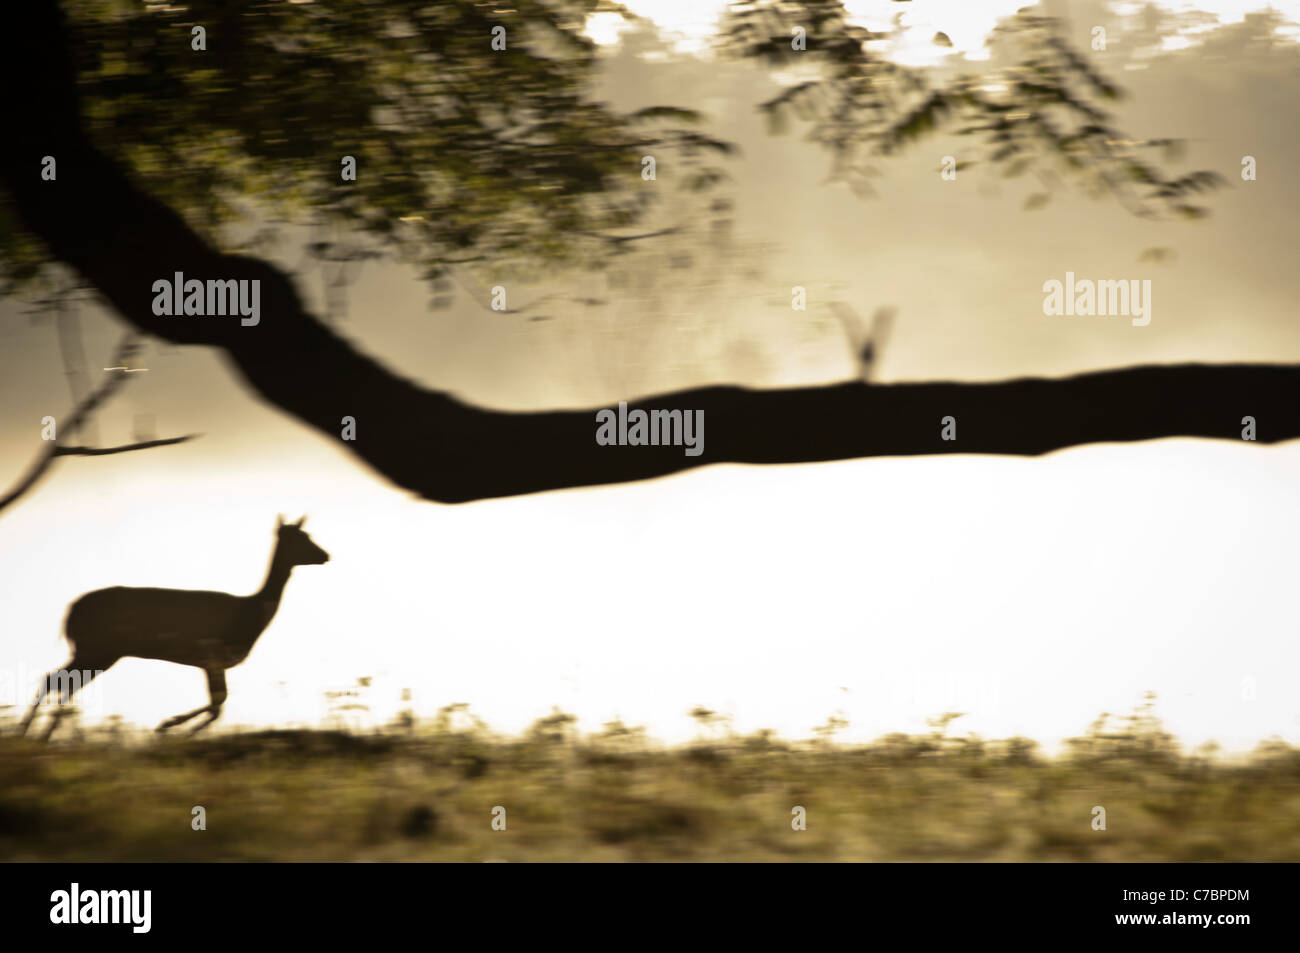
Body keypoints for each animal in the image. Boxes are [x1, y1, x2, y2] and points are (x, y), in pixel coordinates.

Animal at [18, 516, 330, 741]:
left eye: (307, 535)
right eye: (300, 538)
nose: (326, 555)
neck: (249, 617)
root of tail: (69, 613)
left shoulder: (212, 660)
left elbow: (218, 705)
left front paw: (172, 727)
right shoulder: (212, 651)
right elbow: (218, 704)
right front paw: (168, 726)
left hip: (99, 651)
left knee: (58, 681)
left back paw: (39, 735)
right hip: (95, 647)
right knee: (55, 680)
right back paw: (30, 734)